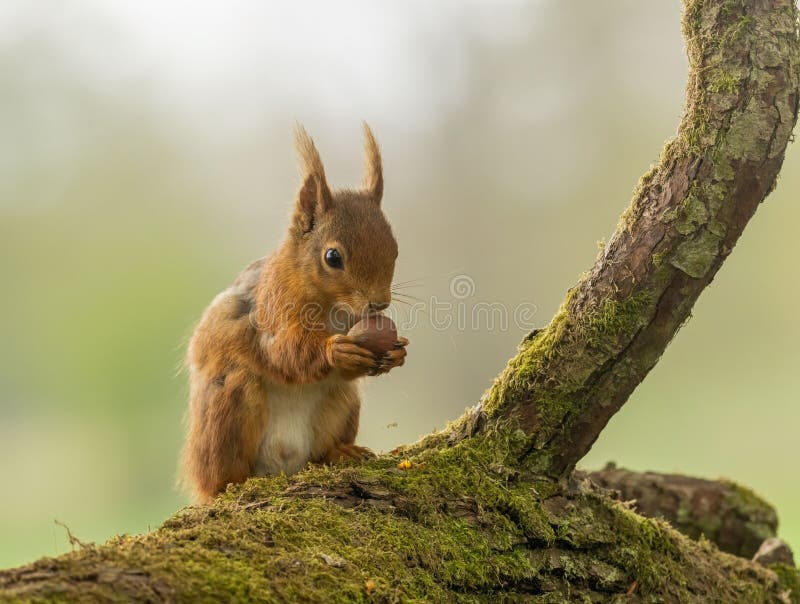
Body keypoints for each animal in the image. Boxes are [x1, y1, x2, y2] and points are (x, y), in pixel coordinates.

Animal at [181, 124, 408, 503]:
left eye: (395, 249)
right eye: (333, 257)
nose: (379, 304)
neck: (333, 305)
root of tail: (282, 463)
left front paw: (398, 352)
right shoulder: (272, 306)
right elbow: (282, 351)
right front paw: (335, 350)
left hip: (341, 401)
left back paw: (340, 452)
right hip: (229, 405)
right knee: (221, 476)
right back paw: (232, 483)